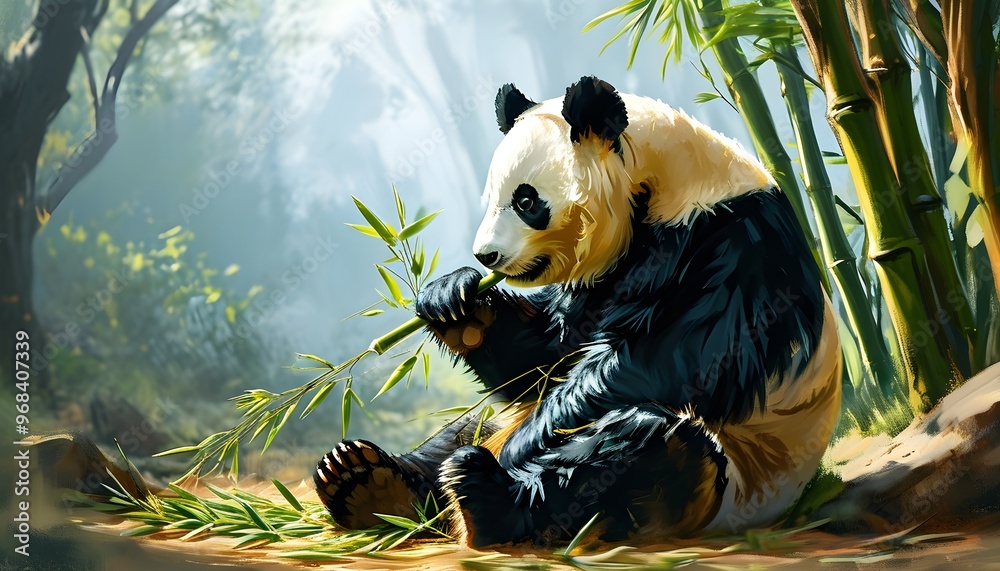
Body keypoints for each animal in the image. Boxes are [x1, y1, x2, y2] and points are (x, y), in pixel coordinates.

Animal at [314, 76, 842, 547]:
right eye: (492, 198)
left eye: (526, 200)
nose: (486, 256)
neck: (667, 183)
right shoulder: (604, 276)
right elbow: (545, 356)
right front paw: (453, 299)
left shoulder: (735, 246)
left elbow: (677, 361)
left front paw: (520, 449)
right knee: (465, 427)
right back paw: (366, 481)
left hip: (727, 480)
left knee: (639, 447)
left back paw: (488, 496)